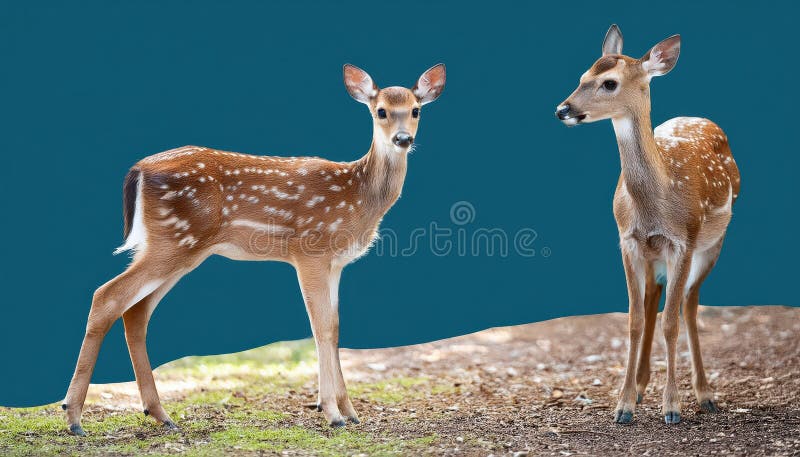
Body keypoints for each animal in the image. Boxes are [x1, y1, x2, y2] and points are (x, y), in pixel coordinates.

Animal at [62, 63, 446, 436]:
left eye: (415, 110)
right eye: (381, 110)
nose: (403, 139)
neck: (358, 196)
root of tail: (138, 170)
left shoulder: (336, 264)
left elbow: (335, 328)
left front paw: (350, 412)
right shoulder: (310, 250)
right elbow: (320, 327)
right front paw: (332, 413)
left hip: (180, 248)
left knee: (137, 311)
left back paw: (160, 414)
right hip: (174, 242)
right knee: (107, 296)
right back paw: (74, 417)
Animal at [555, 25, 740, 424]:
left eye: (609, 83)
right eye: (582, 77)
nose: (562, 110)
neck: (656, 203)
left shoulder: (683, 240)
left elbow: (671, 321)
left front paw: (671, 407)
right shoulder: (627, 241)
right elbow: (634, 319)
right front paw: (623, 405)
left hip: (713, 244)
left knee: (688, 304)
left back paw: (705, 395)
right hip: (655, 253)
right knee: (654, 297)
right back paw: (640, 387)